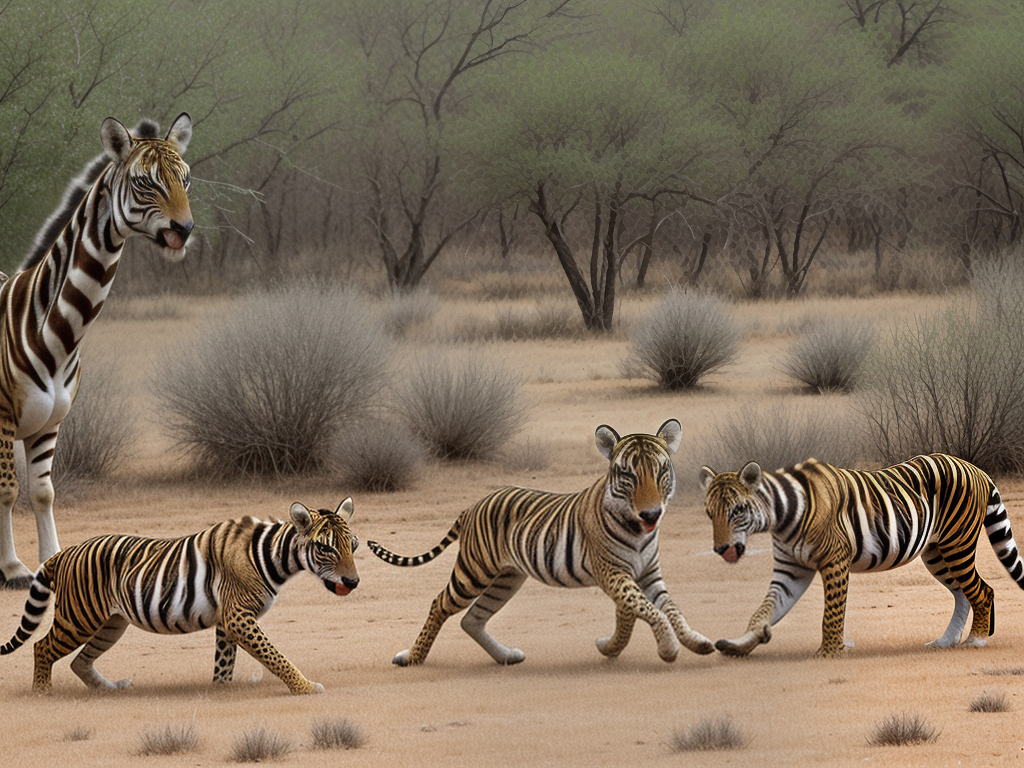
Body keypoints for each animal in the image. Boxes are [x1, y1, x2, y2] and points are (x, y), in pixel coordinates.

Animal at [0, 500, 359, 694]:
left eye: (352, 546)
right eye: (327, 548)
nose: (352, 581)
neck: (275, 557)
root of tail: (67, 550)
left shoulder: (227, 621)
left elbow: (224, 663)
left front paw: (221, 690)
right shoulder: (238, 617)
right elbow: (276, 656)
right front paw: (304, 687)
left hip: (110, 624)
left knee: (80, 661)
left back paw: (110, 690)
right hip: (79, 619)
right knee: (42, 648)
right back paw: (42, 694)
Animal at [367, 420, 714, 666]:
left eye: (661, 471)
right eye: (628, 475)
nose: (651, 513)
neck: (638, 529)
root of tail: (472, 506)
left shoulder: (648, 574)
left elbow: (668, 608)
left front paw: (695, 641)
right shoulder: (614, 574)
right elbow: (648, 610)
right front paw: (667, 648)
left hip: (507, 579)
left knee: (472, 618)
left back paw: (506, 656)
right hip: (473, 573)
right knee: (439, 603)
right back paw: (413, 657)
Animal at [700, 453, 1024, 657]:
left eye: (737, 511)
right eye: (710, 513)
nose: (720, 549)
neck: (782, 517)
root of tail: (974, 467)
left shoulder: (834, 562)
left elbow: (831, 613)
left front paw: (829, 653)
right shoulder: (790, 570)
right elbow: (764, 610)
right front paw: (740, 645)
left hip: (957, 546)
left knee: (983, 591)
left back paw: (976, 640)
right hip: (936, 553)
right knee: (961, 593)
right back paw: (945, 642)